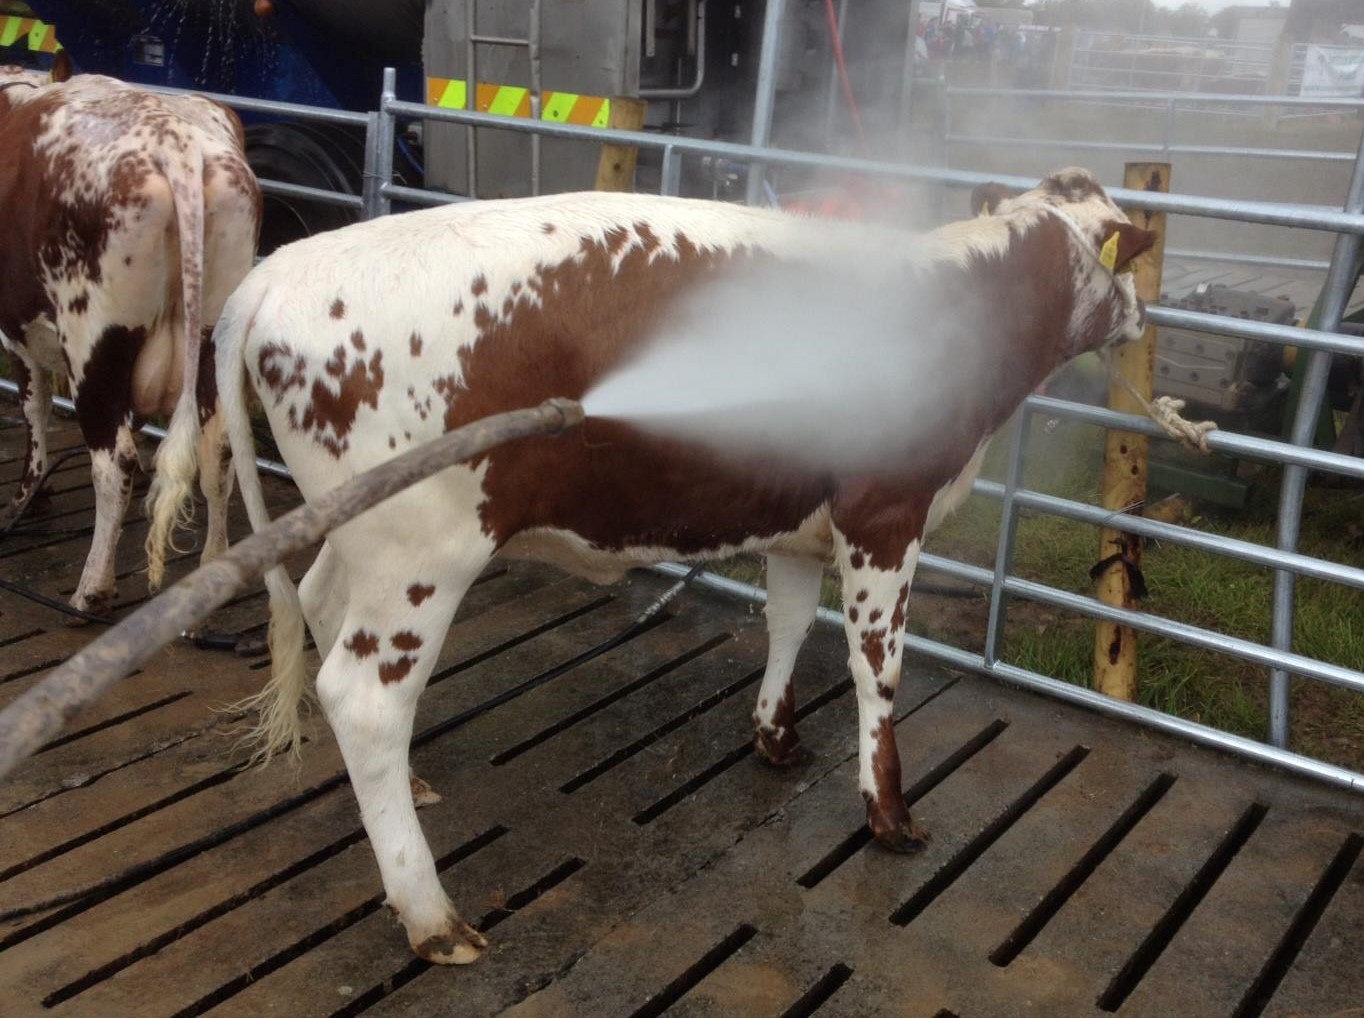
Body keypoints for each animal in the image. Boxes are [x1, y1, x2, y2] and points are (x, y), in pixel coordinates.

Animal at [0, 62, 261, 614]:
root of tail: (177, 144)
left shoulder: (16, 328)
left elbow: (33, 405)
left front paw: (27, 495)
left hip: (93, 342)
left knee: (112, 460)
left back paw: (92, 589)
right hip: (213, 335)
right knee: (218, 451)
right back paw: (212, 573)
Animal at [216, 168, 1155, 966]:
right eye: (1126, 247)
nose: (1145, 316)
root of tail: (278, 272)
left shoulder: (797, 520)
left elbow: (788, 622)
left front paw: (774, 737)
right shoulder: (886, 515)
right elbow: (876, 665)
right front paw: (889, 812)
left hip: (359, 539)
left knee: (320, 605)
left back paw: (410, 787)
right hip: (421, 553)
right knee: (365, 698)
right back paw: (430, 913)